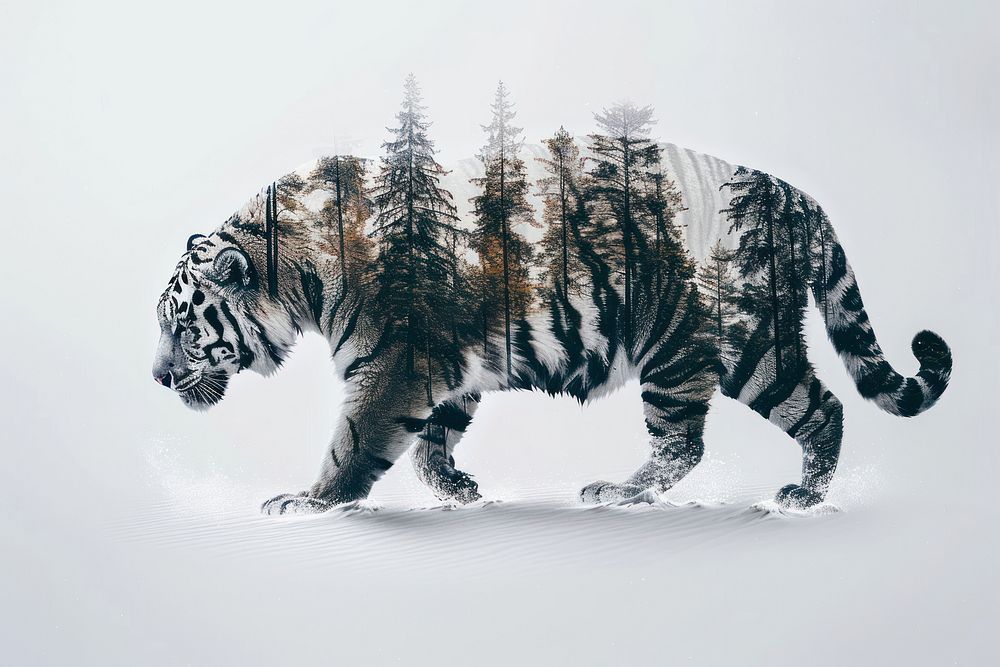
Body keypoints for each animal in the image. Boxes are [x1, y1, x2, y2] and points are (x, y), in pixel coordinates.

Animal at [153, 144, 952, 515]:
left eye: (183, 325)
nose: (157, 377)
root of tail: (793, 196)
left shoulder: (392, 365)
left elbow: (354, 442)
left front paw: (307, 503)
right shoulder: (446, 364)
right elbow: (432, 441)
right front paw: (461, 489)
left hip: (713, 343)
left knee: (754, 424)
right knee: (758, 424)